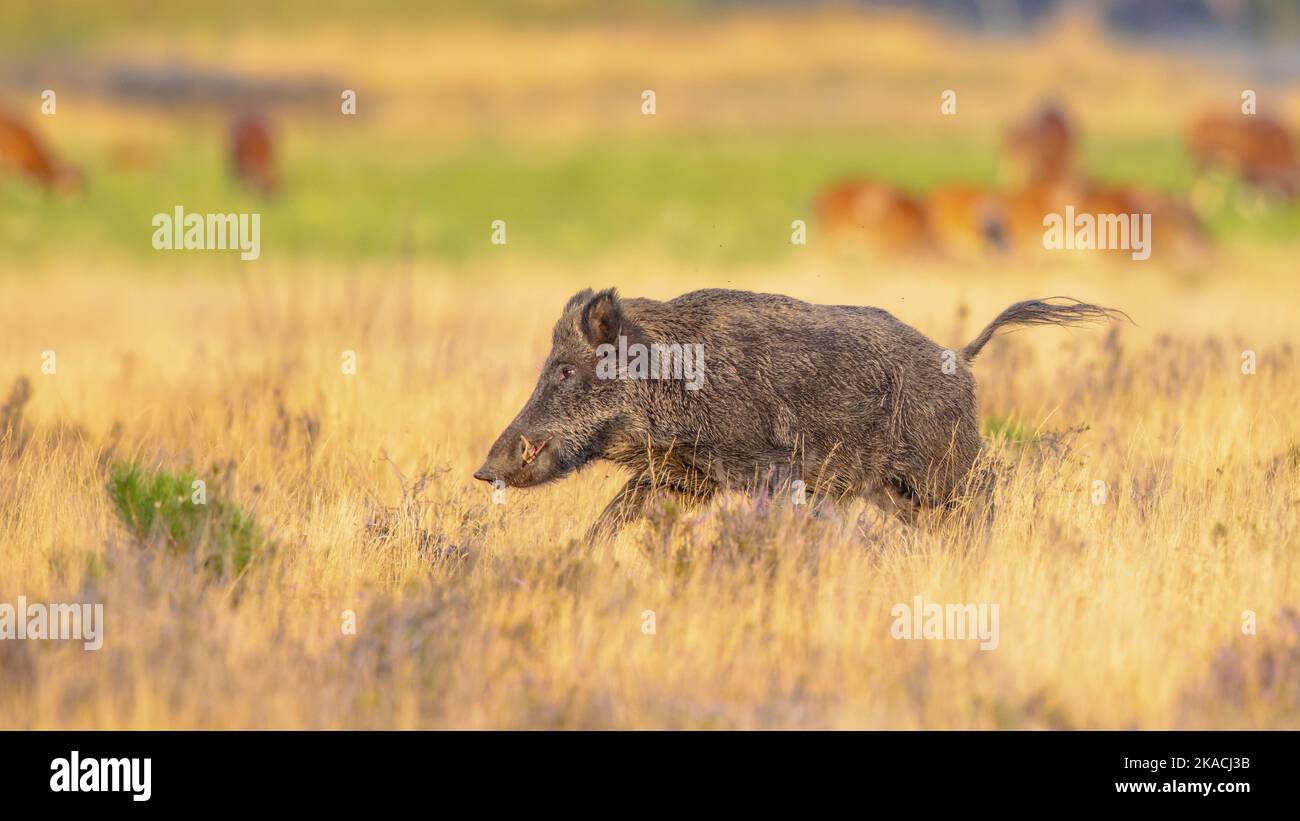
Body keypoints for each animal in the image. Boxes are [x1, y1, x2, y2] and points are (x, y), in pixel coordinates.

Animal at [474, 288, 1122, 540]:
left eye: (564, 371)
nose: (484, 470)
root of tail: (961, 356)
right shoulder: (680, 476)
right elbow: (613, 517)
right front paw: (585, 553)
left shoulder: (765, 468)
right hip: (894, 489)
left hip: (944, 469)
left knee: (982, 504)